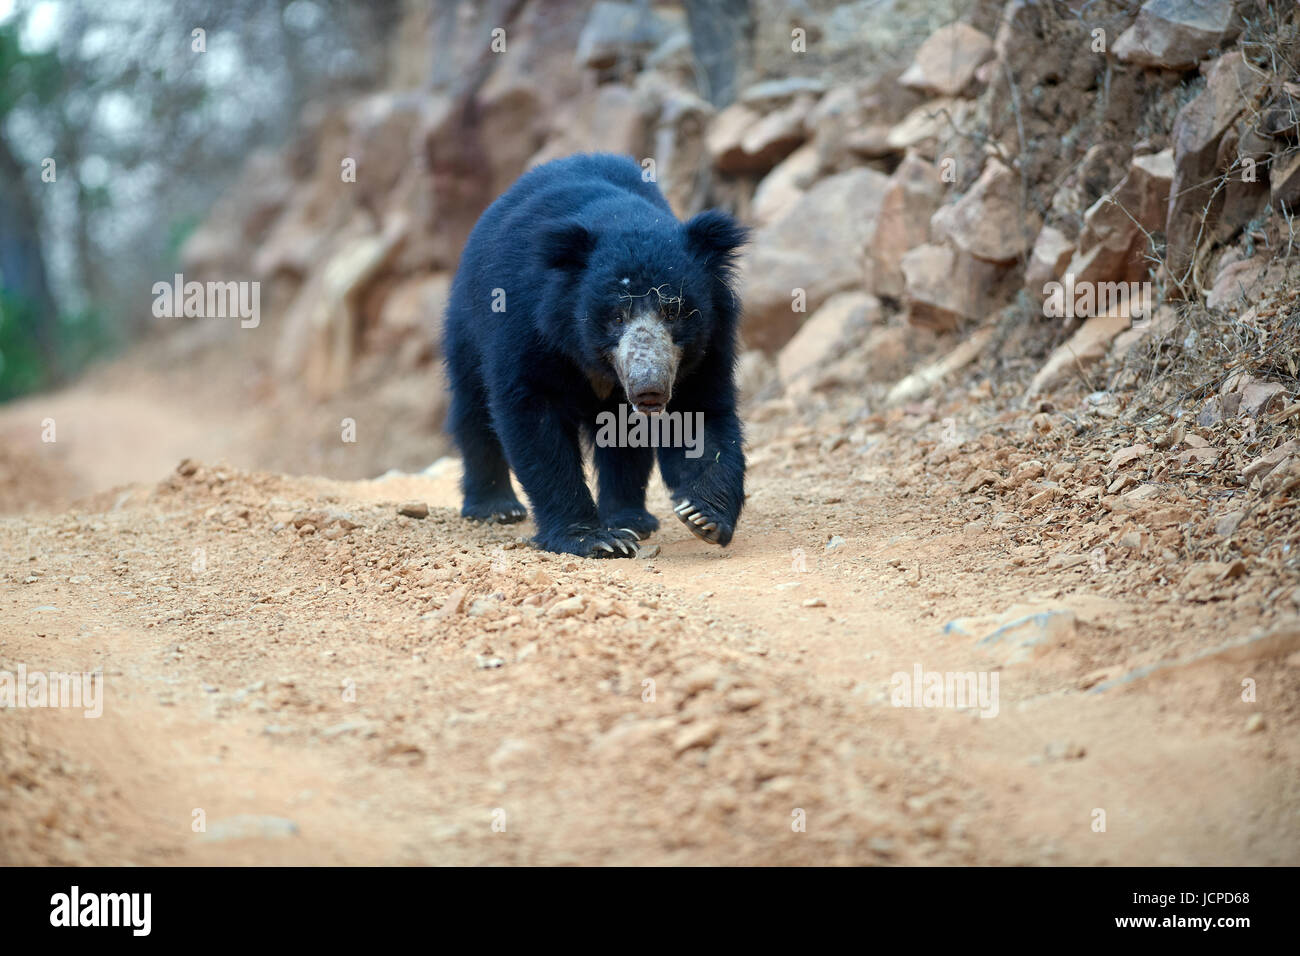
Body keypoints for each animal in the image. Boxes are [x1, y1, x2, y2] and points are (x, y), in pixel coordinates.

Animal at [442, 153, 749, 558]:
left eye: (675, 312)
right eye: (616, 317)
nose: (649, 389)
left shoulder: (708, 345)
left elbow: (700, 414)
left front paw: (702, 515)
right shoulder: (527, 324)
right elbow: (532, 418)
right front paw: (593, 539)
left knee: (623, 444)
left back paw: (632, 519)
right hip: (466, 325)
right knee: (473, 409)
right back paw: (495, 508)